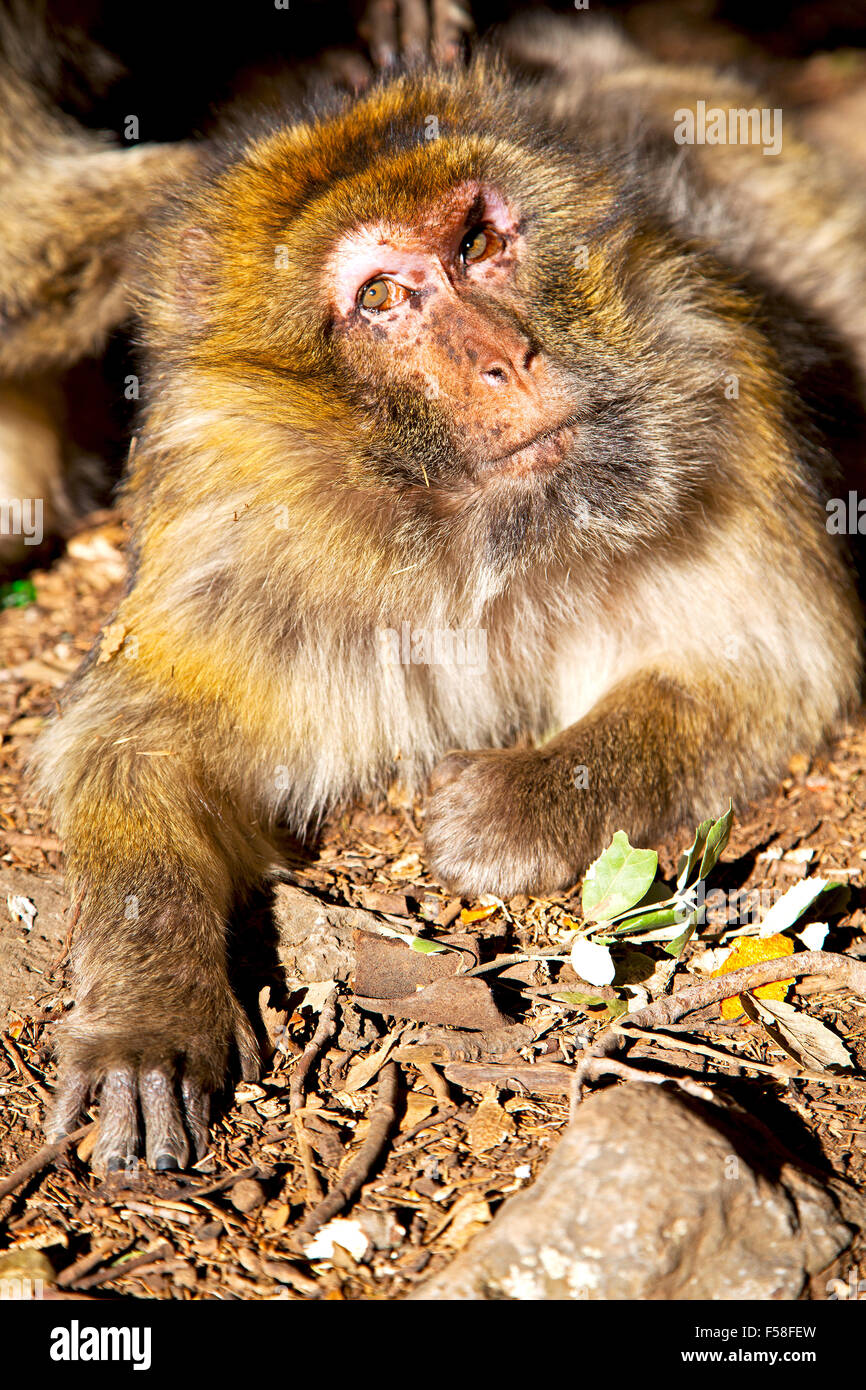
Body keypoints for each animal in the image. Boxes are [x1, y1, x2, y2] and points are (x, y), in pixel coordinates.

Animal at [24, 12, 866, 1171]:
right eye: (380, 297)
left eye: (474, 244)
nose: (508, 356)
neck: (468, 541)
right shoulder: (231, 537)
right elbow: (134, 738)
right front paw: (144, 1016)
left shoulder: (720, 385)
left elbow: (772, 662)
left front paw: (511, 803)